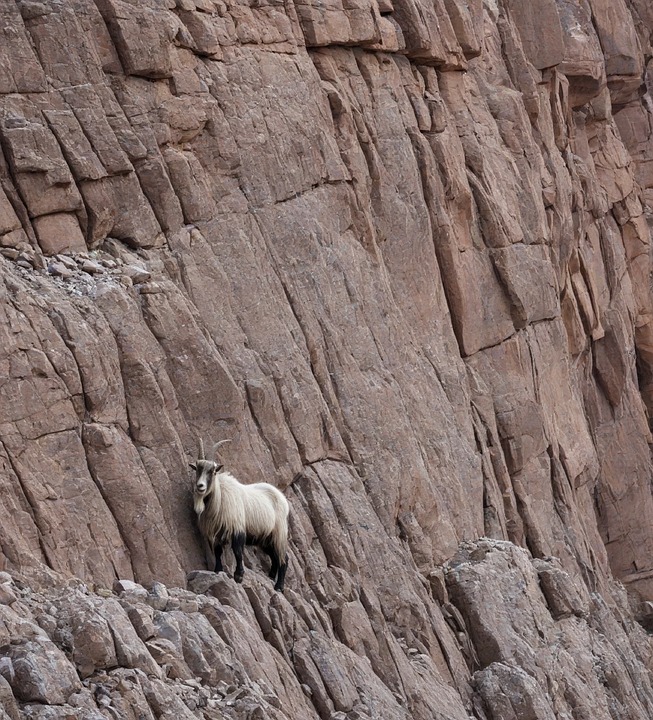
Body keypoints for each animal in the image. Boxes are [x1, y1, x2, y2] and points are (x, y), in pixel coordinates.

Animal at [190, 440, 290, 592]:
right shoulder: (214, 532)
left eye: (212, 471)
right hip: (265, 538)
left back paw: (279, 586)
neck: (220, 496)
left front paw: (239, 576)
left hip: (279, 533)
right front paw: (218, 570)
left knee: (284, 558)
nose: (200, 486)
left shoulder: (237, 528)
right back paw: (272, 576)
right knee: (275, 557)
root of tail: (282, 497)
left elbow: (237, 551)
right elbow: (217, 551)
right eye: (197, 469)